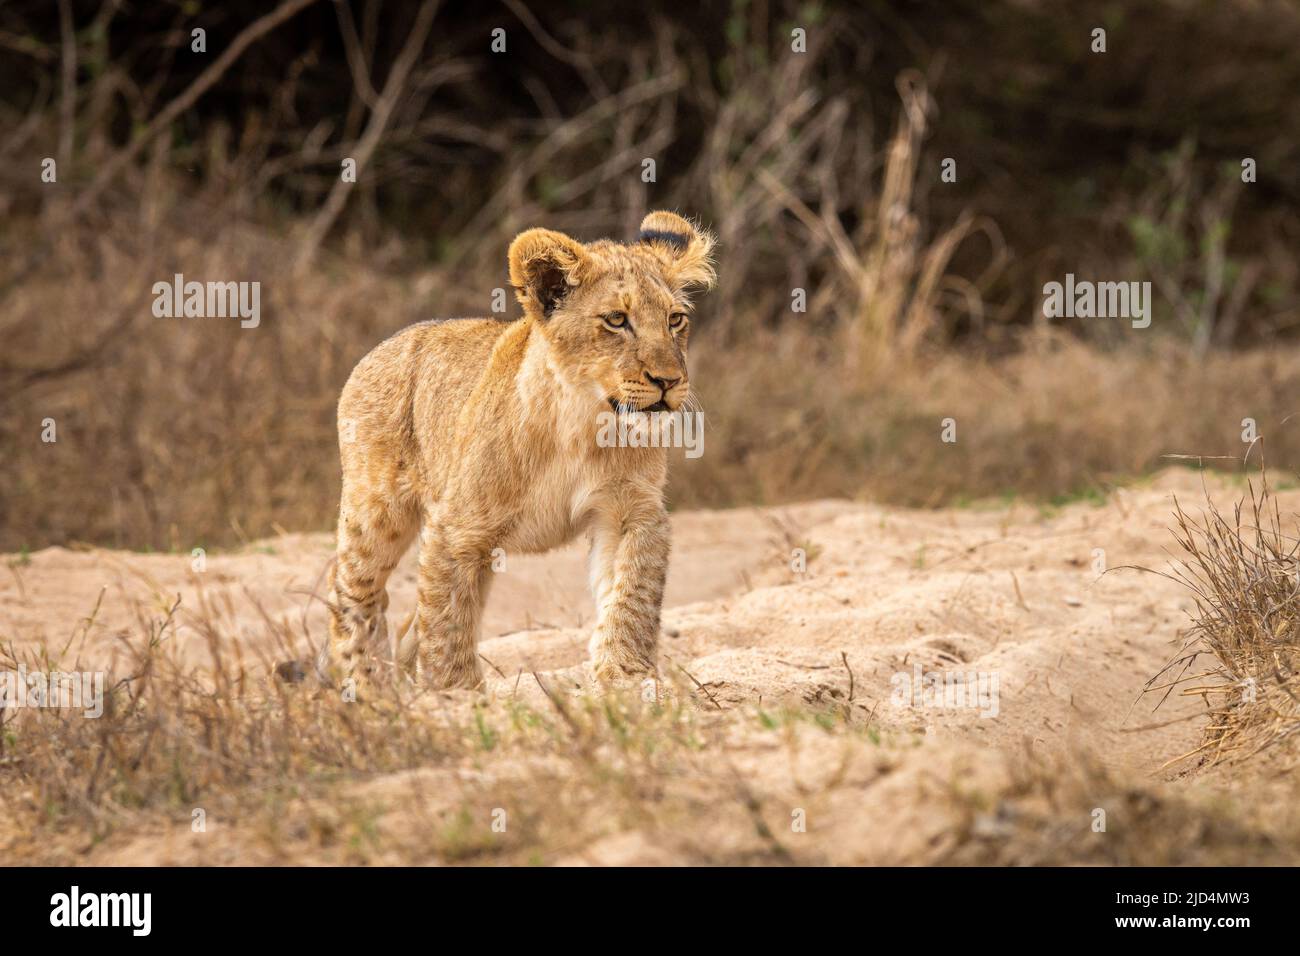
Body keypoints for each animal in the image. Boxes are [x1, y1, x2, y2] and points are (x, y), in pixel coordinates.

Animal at [323, 211, 716, 692]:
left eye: (675, 319)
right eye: (617, 319)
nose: (668, 381)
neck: (583, 424)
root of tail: (382, 347)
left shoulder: (633, 511)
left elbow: (633, 596)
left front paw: (625, 675)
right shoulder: (457, 527)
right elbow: (447, 621)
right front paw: (453, 692)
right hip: (377, 509)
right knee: (353, 588)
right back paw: (366, 687)